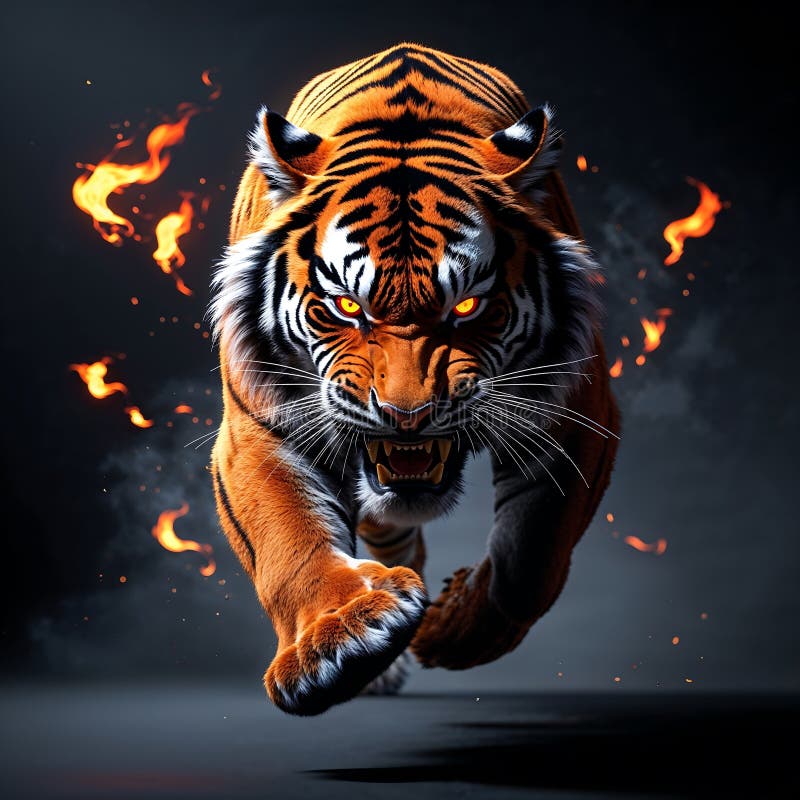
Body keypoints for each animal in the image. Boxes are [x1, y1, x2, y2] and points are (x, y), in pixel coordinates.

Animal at [209, 43, 619, 716]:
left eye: (468, 306)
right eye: (347, 306)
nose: (407, 416)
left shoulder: (576, 413)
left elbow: (531, 554)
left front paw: (456, 631)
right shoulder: (257, 426)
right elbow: (287, 537)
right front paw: (343, 639)